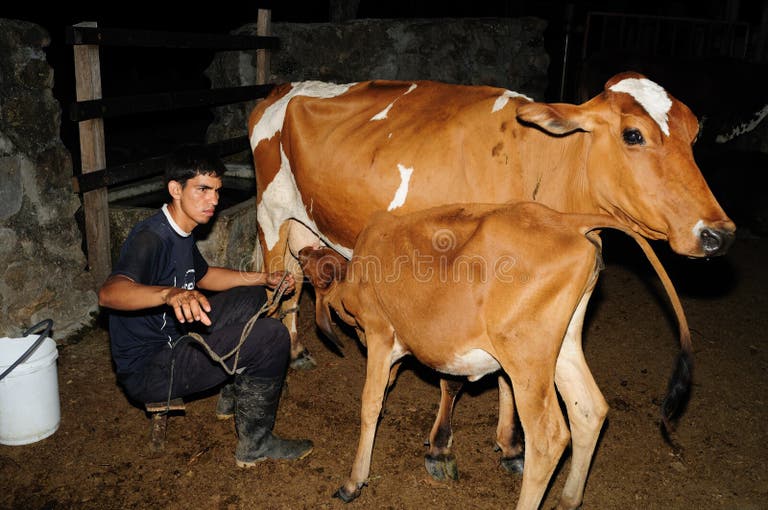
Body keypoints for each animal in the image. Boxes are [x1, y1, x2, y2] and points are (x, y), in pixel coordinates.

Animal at [247, 71, 734, 477]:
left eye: (694, 135)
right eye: (633, 134)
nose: (718, 234)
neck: (538, 164)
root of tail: (282, 89)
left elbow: (505, 379)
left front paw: (511, 445)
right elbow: (453, 379)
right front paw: (440, 447)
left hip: (306, 223)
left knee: (296, 279)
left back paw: (297, 349)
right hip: (272, 215)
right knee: (277, 285)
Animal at [297, 201, 693, 510]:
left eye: (315, 272)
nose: (300, 252)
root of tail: (567, 220)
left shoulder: (380, 333)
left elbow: (370, 404)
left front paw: (354, 481)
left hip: (526, 360)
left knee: (548, 437)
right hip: (562, 347)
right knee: (589, 410)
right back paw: (569, 499)